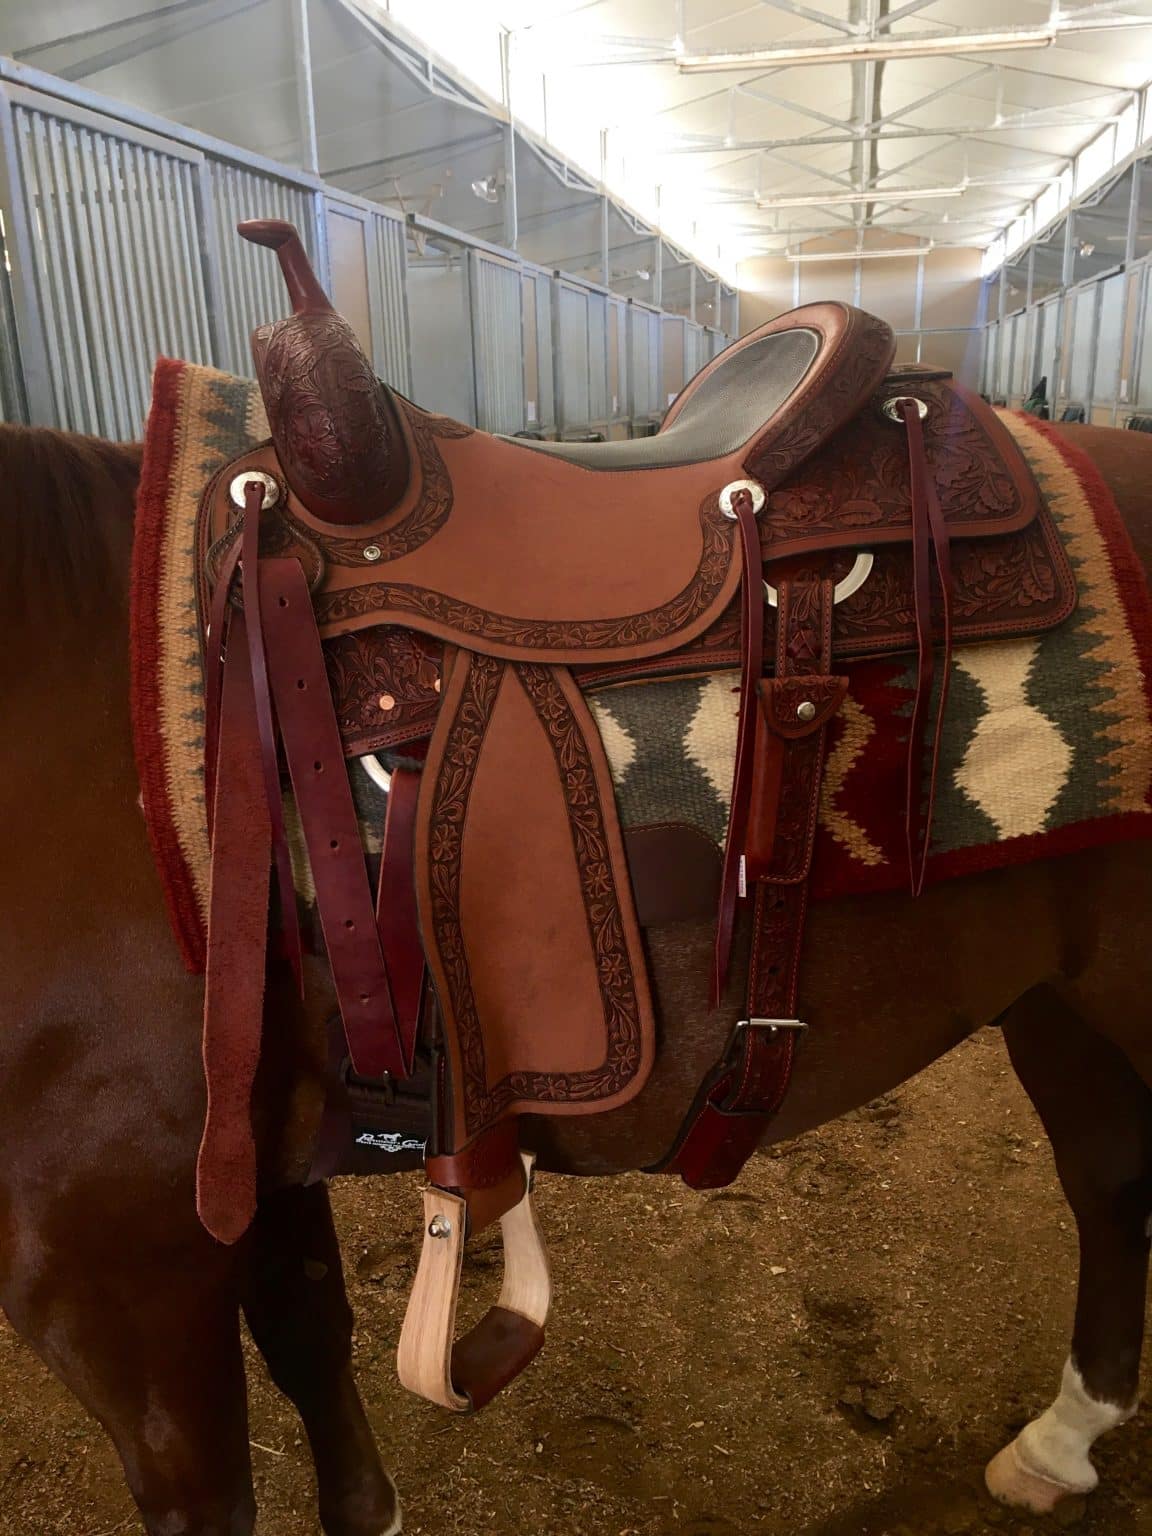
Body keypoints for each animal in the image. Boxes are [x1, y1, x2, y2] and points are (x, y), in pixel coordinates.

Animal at [1, 416, 1150, 1536]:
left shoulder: (116, 1266)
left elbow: (209, 1489)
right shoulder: (248, 1176)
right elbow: (314, 1340)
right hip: (1058, 1007)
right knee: (1107, 1182)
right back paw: (1056, 1449)